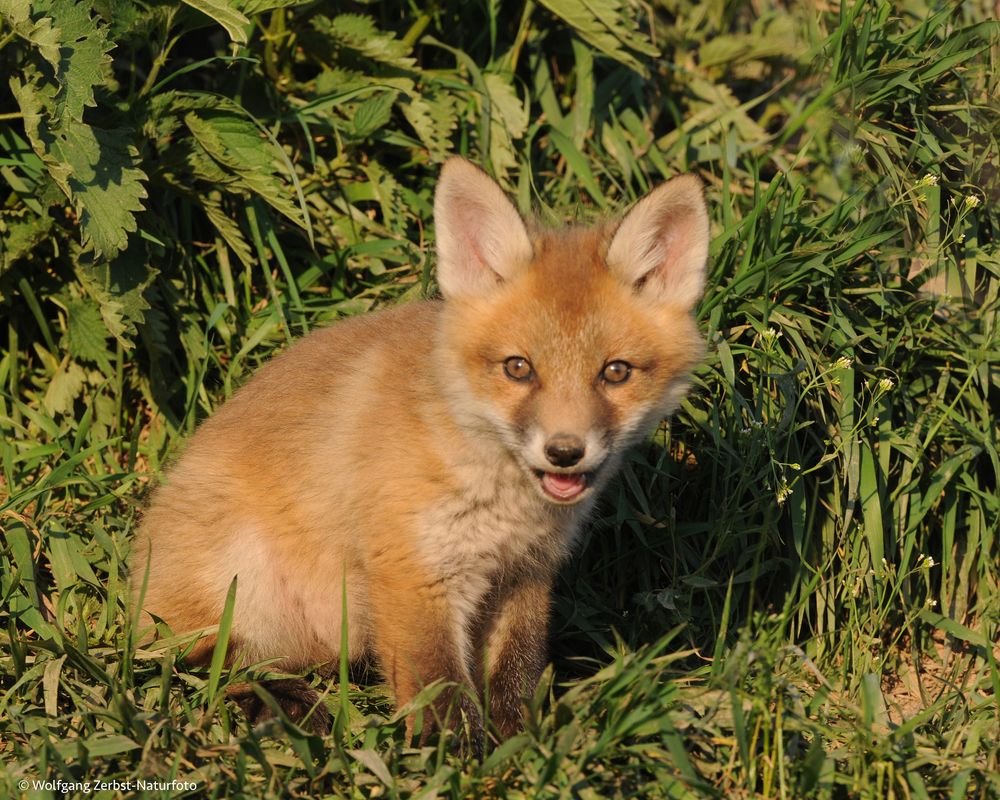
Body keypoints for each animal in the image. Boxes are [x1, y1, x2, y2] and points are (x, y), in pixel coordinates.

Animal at [131, 156, 712, 744]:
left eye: (614, 372)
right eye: (518, 368)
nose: (565, 451)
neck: (499, 500)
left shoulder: (524, 573)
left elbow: (516, 672)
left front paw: (522, 746)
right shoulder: (412, 571)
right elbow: (441, 693)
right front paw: (459, 757)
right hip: (234, 591)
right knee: (212, 664)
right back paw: (284, 704)